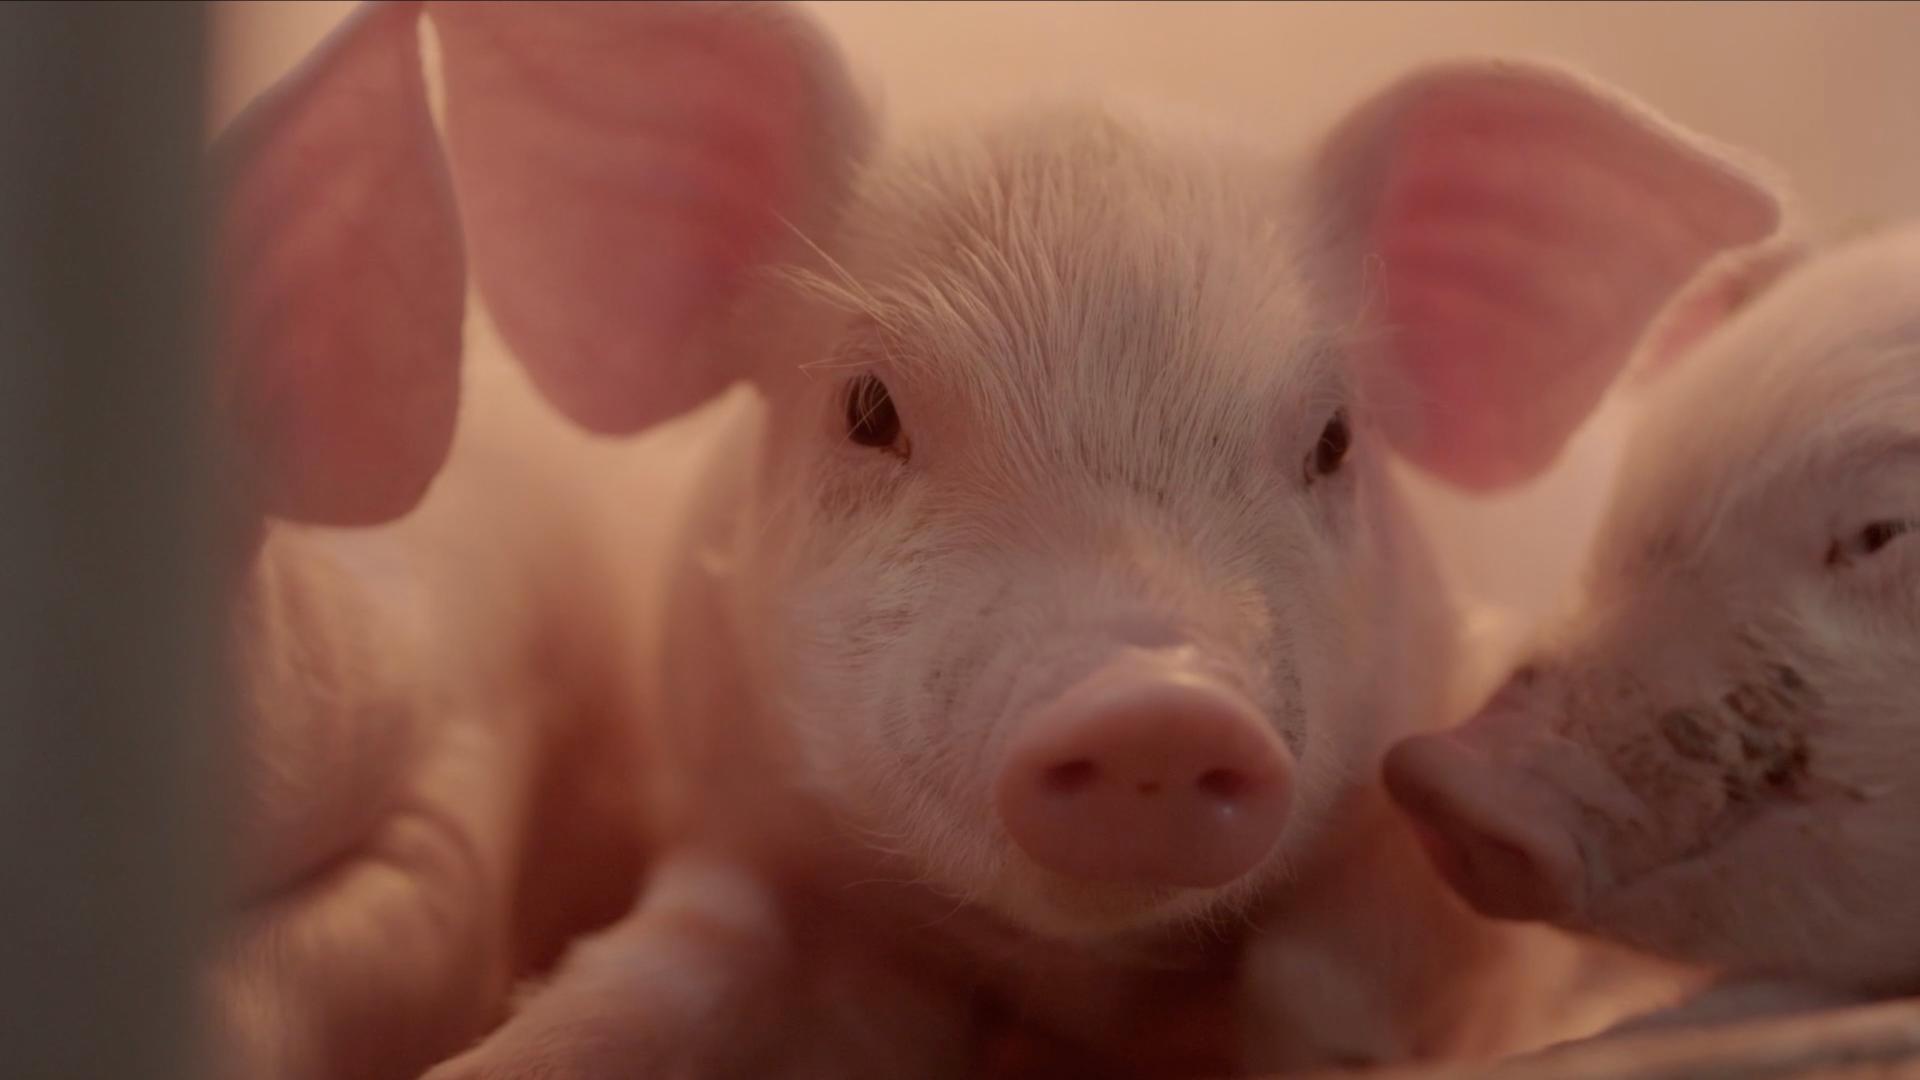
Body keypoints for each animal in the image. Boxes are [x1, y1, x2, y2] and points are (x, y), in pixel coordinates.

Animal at [206, 2, 1788, 1077]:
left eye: (1334, 441)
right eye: (868, 408)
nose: (1157, 704)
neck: (1077, 979)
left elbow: (1335, 978)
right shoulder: (732, 824)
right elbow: (654, 977)